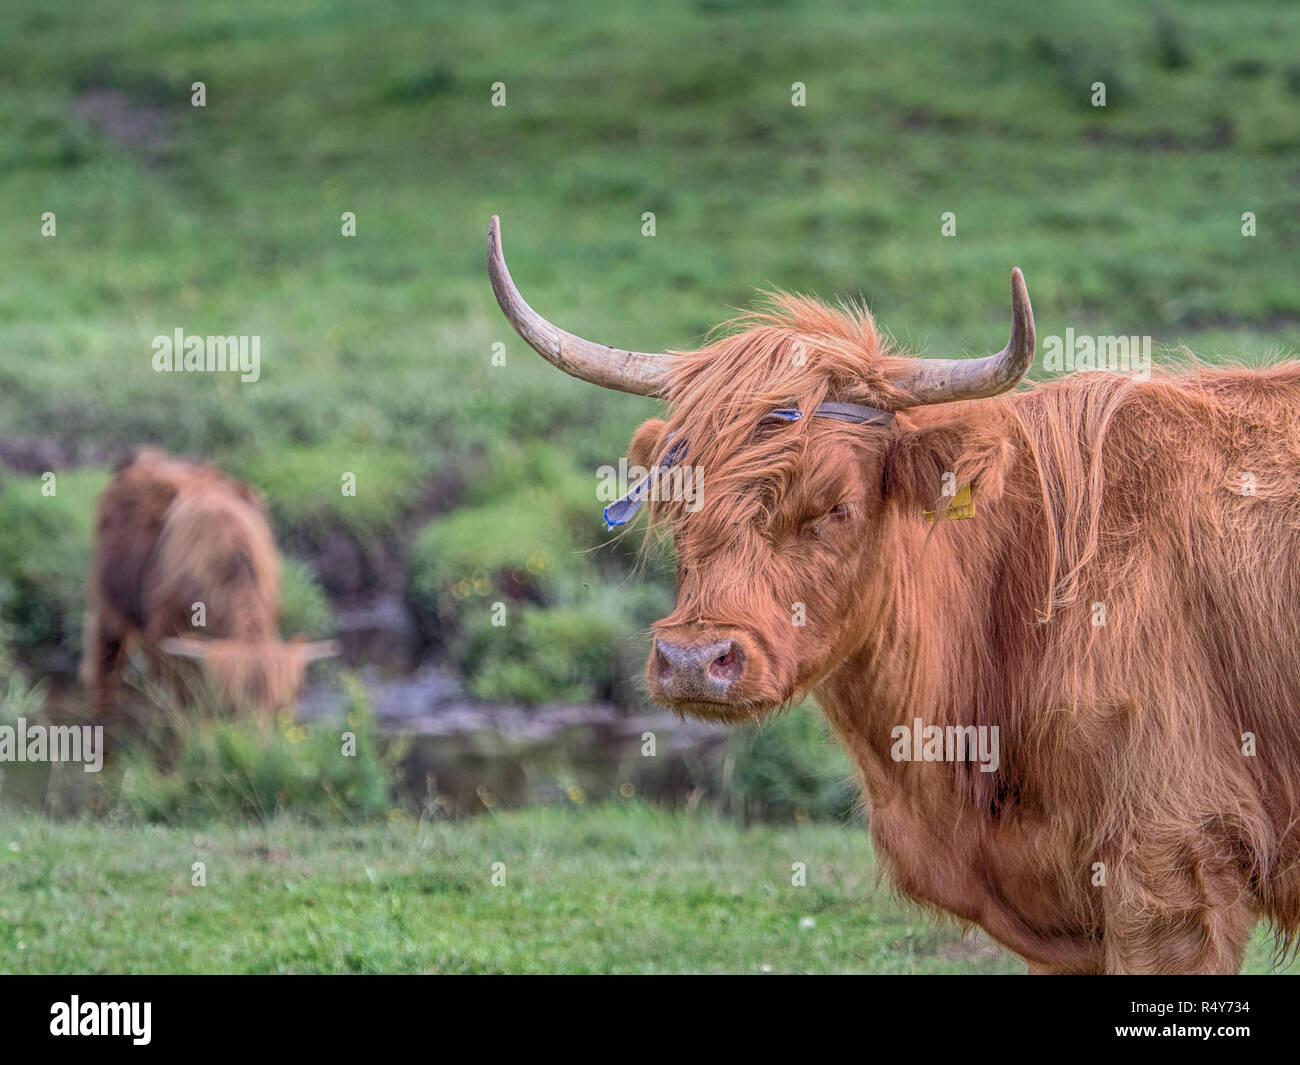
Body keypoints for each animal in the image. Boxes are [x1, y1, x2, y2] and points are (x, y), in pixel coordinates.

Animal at [80, 449, 338, 716]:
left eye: (278, 710)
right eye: (232, 708)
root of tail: (148, 455)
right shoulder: (164, 641)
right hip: (106, 604)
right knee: (102, 662)